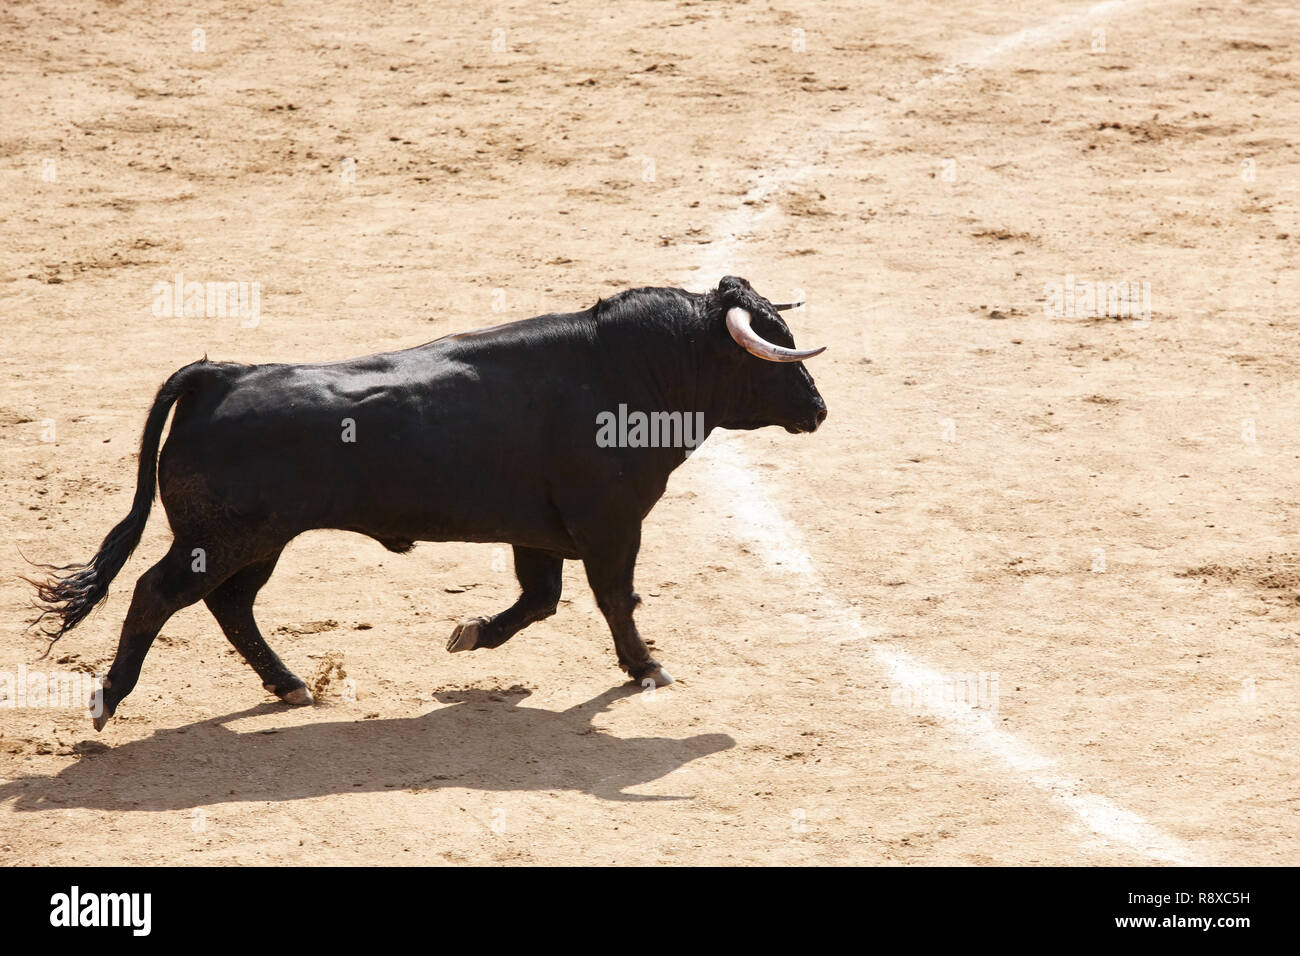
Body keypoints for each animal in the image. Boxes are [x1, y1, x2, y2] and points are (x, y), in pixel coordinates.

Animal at [27, 275, 827, 730]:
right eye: (772, 352)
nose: (819, 410)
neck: (635, 374)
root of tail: (220, 375)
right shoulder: (611, 525)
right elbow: (613, 598)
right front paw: (647, 668)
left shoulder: (538, 532)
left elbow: (540, 599)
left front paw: (469, 636)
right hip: (219, 539)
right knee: (157, 593)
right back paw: (108, 700)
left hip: (259, 541)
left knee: (231, 604)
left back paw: (290, 685)